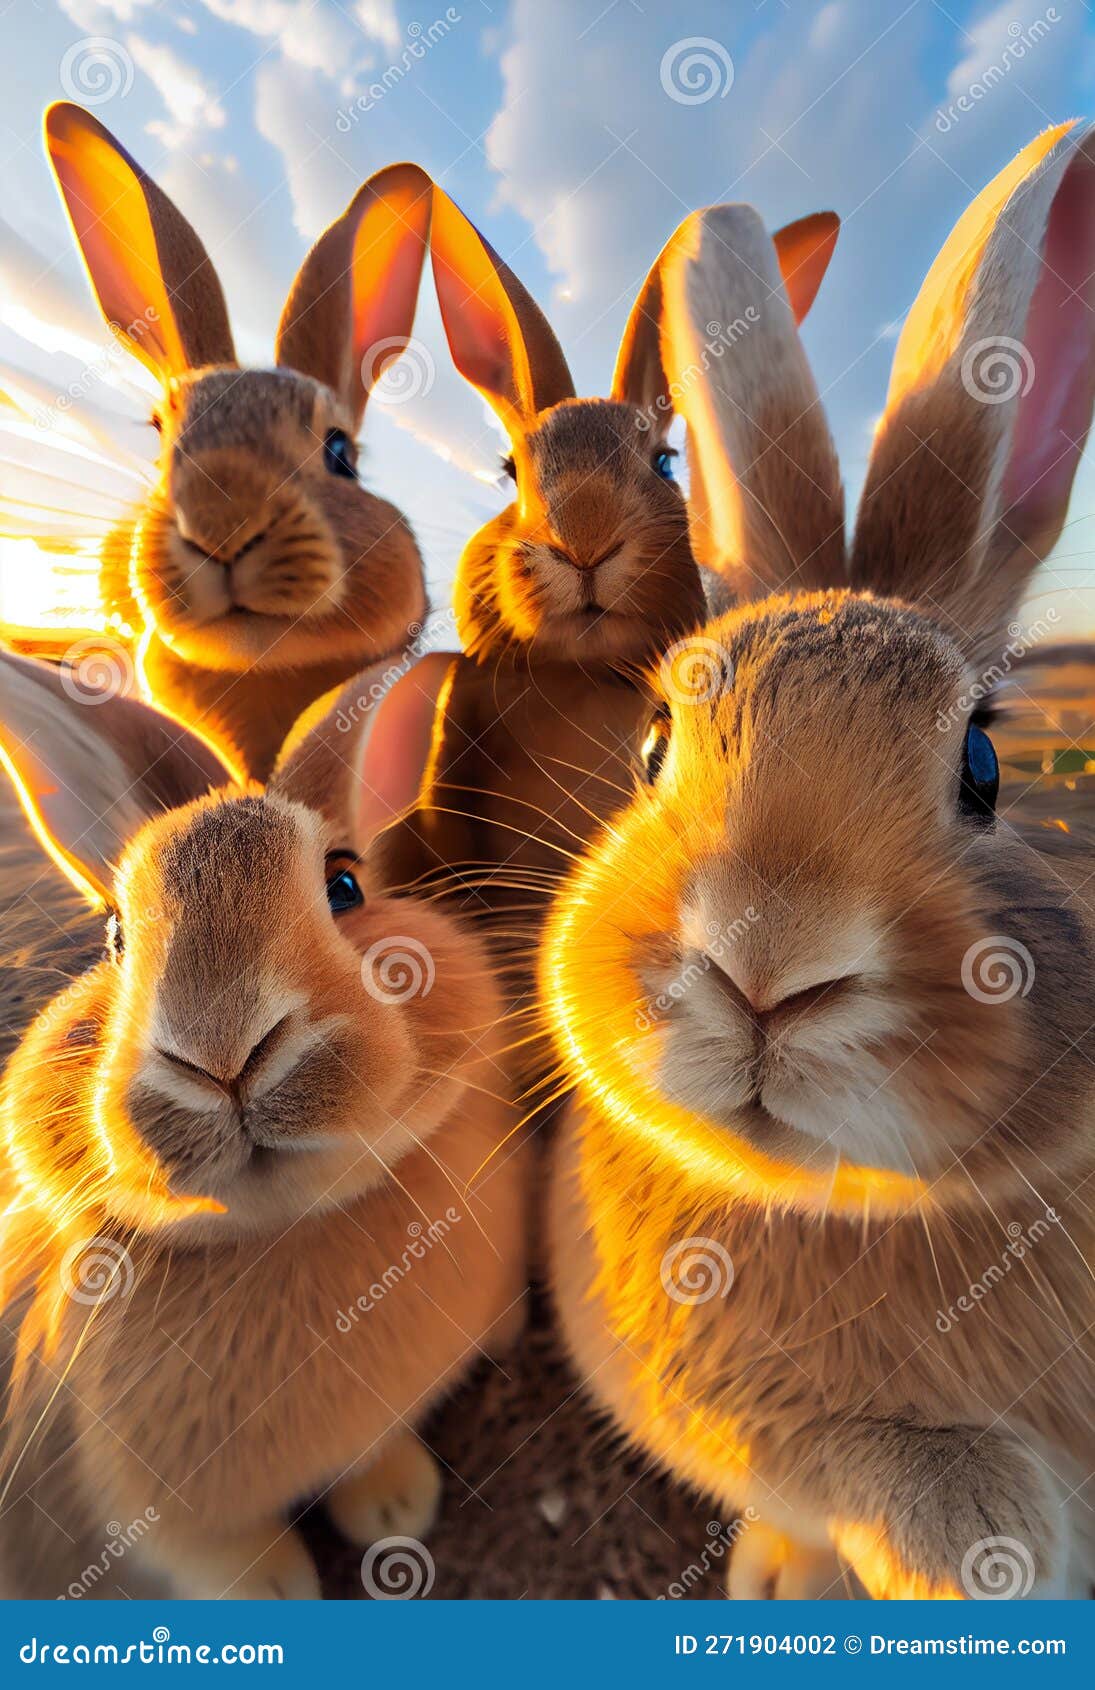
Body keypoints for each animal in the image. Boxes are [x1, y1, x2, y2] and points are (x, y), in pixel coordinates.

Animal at [0, 645, 529, 1599]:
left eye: (345, 885)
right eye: (115, 939)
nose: (223, 1051)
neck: (289, 1226)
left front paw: (397, 1508)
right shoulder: (162, 1524)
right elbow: (226, 1561)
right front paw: (285, 1590)